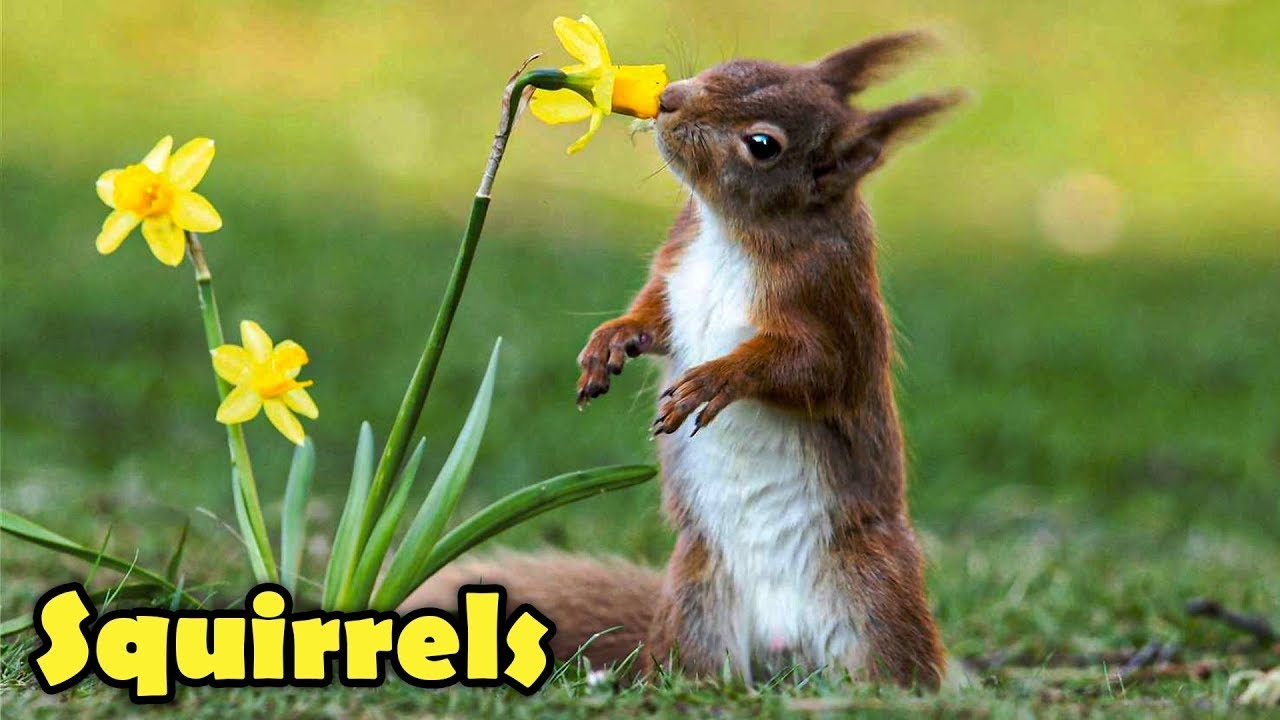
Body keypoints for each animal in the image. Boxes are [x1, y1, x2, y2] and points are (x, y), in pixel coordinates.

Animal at [402, 32, 963, 689]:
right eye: (727, 67)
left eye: (763, 145)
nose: (669, 98)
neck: (730, 231)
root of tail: (784, 652)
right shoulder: (676, 264)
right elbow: (656, 323)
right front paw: (609, 343)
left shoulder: (833, 301)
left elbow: (813, 369)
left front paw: (714, 380)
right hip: (697, 608)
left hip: (876, 600)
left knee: (891, 664)